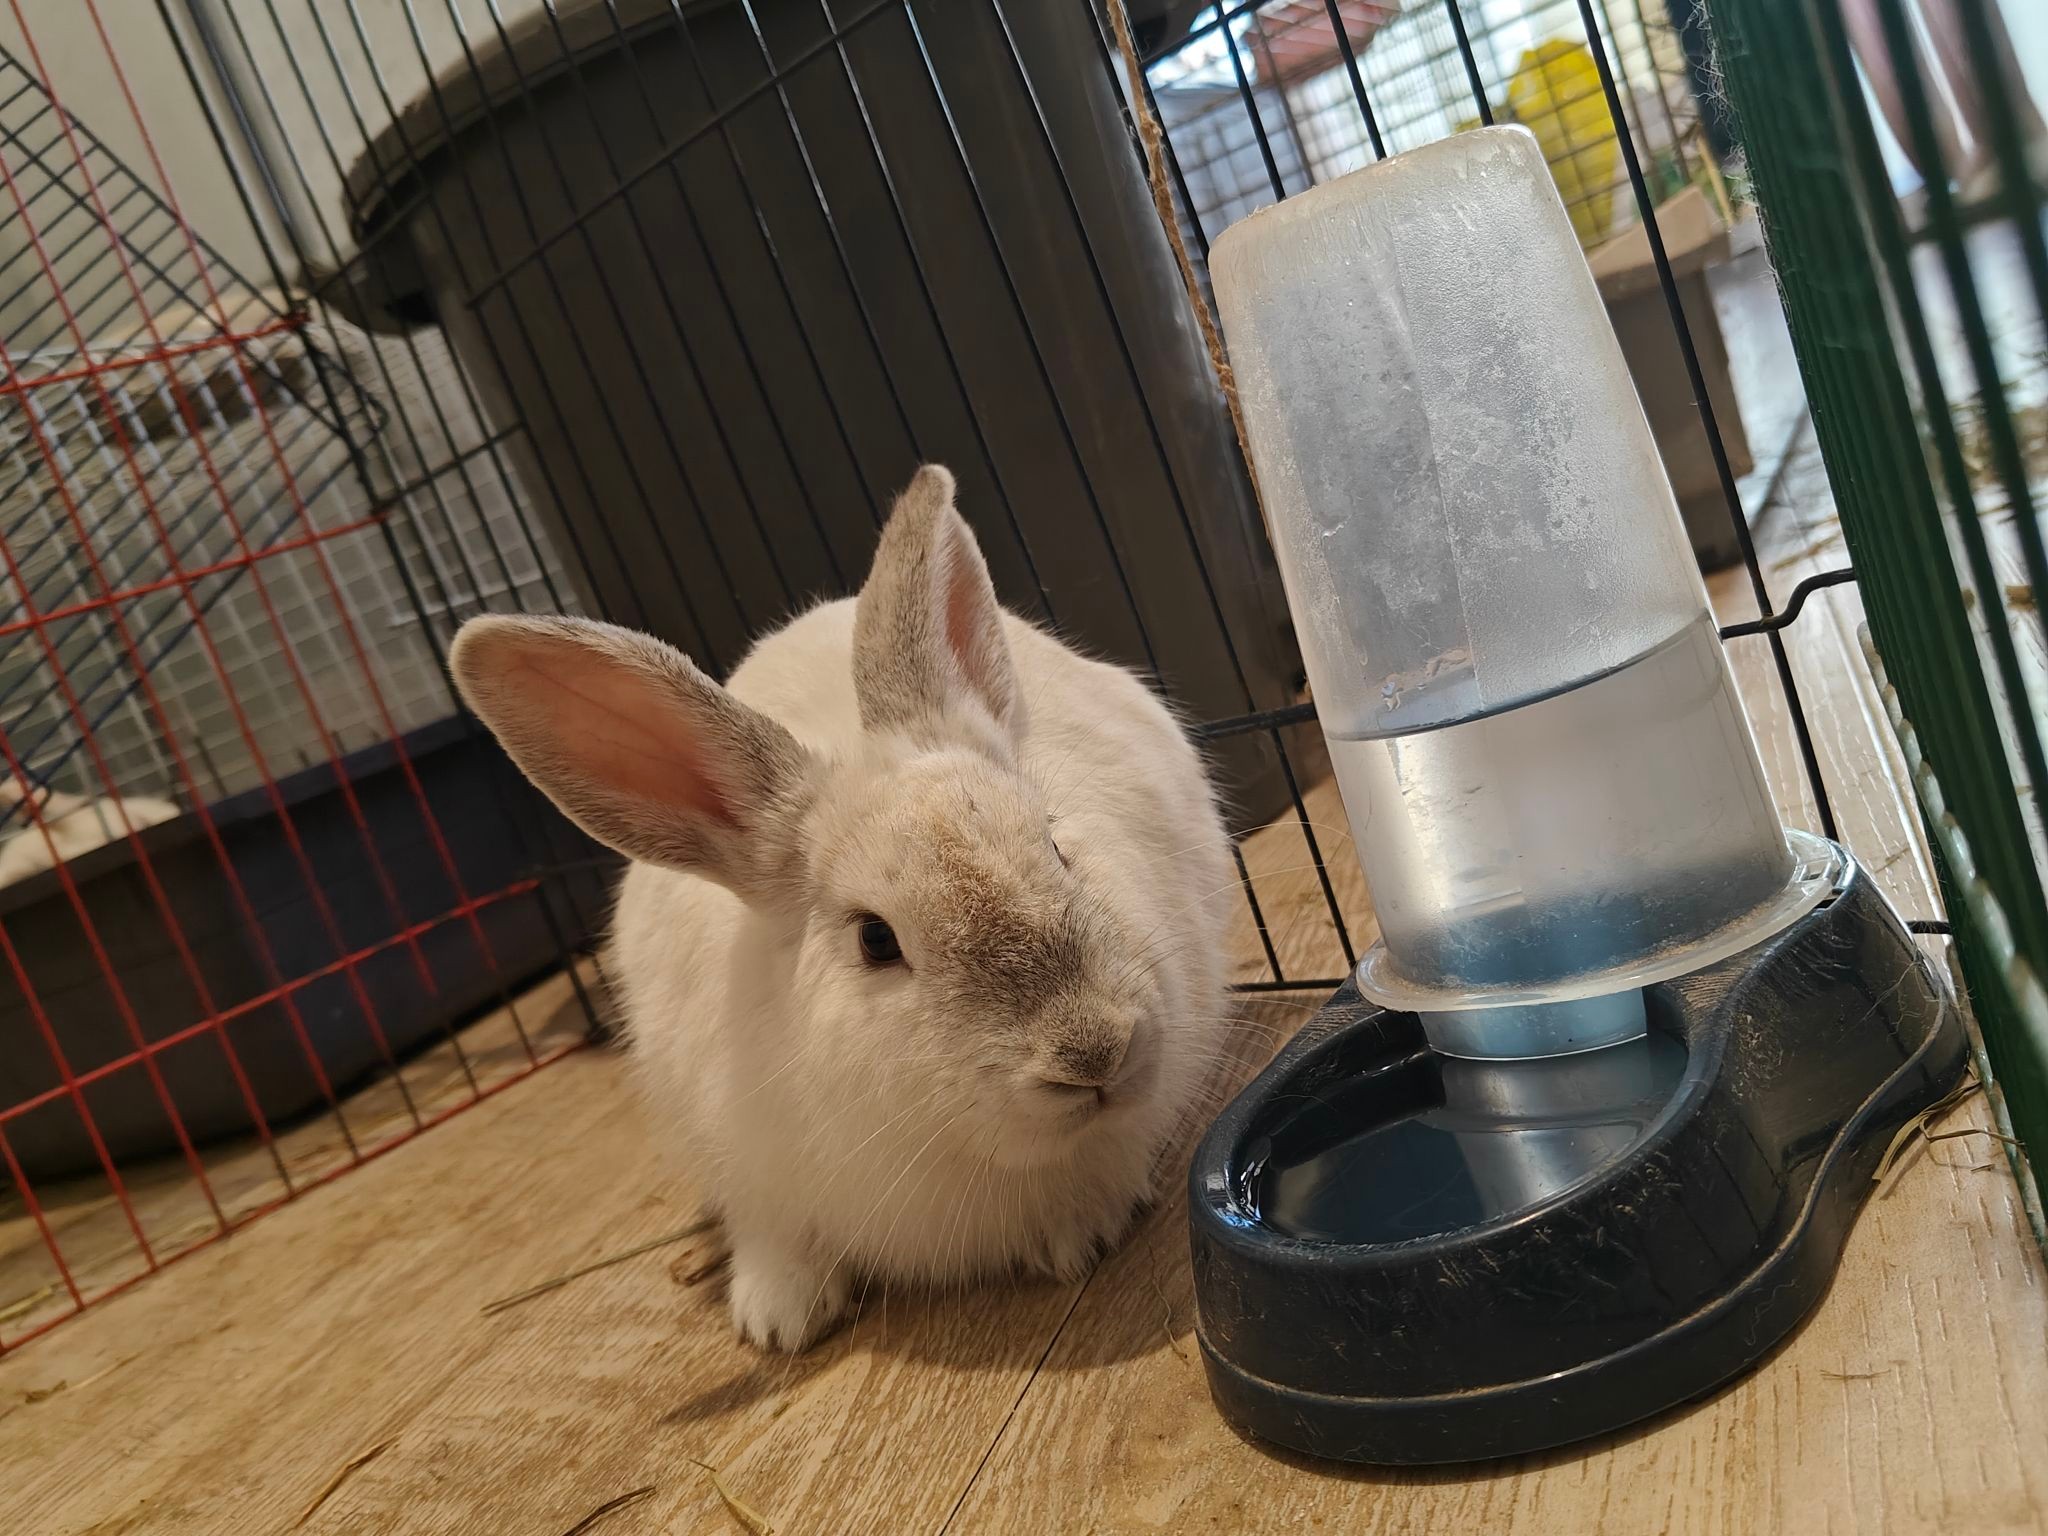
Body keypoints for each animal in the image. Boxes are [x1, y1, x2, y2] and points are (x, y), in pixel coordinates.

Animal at [450, 464, 1237, 1352]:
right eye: (875, 941)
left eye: (1056, 843)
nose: (1096, 1050)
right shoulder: (749, 1172)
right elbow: (775, 1239)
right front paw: (776, 1321)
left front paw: (1080, 1233)